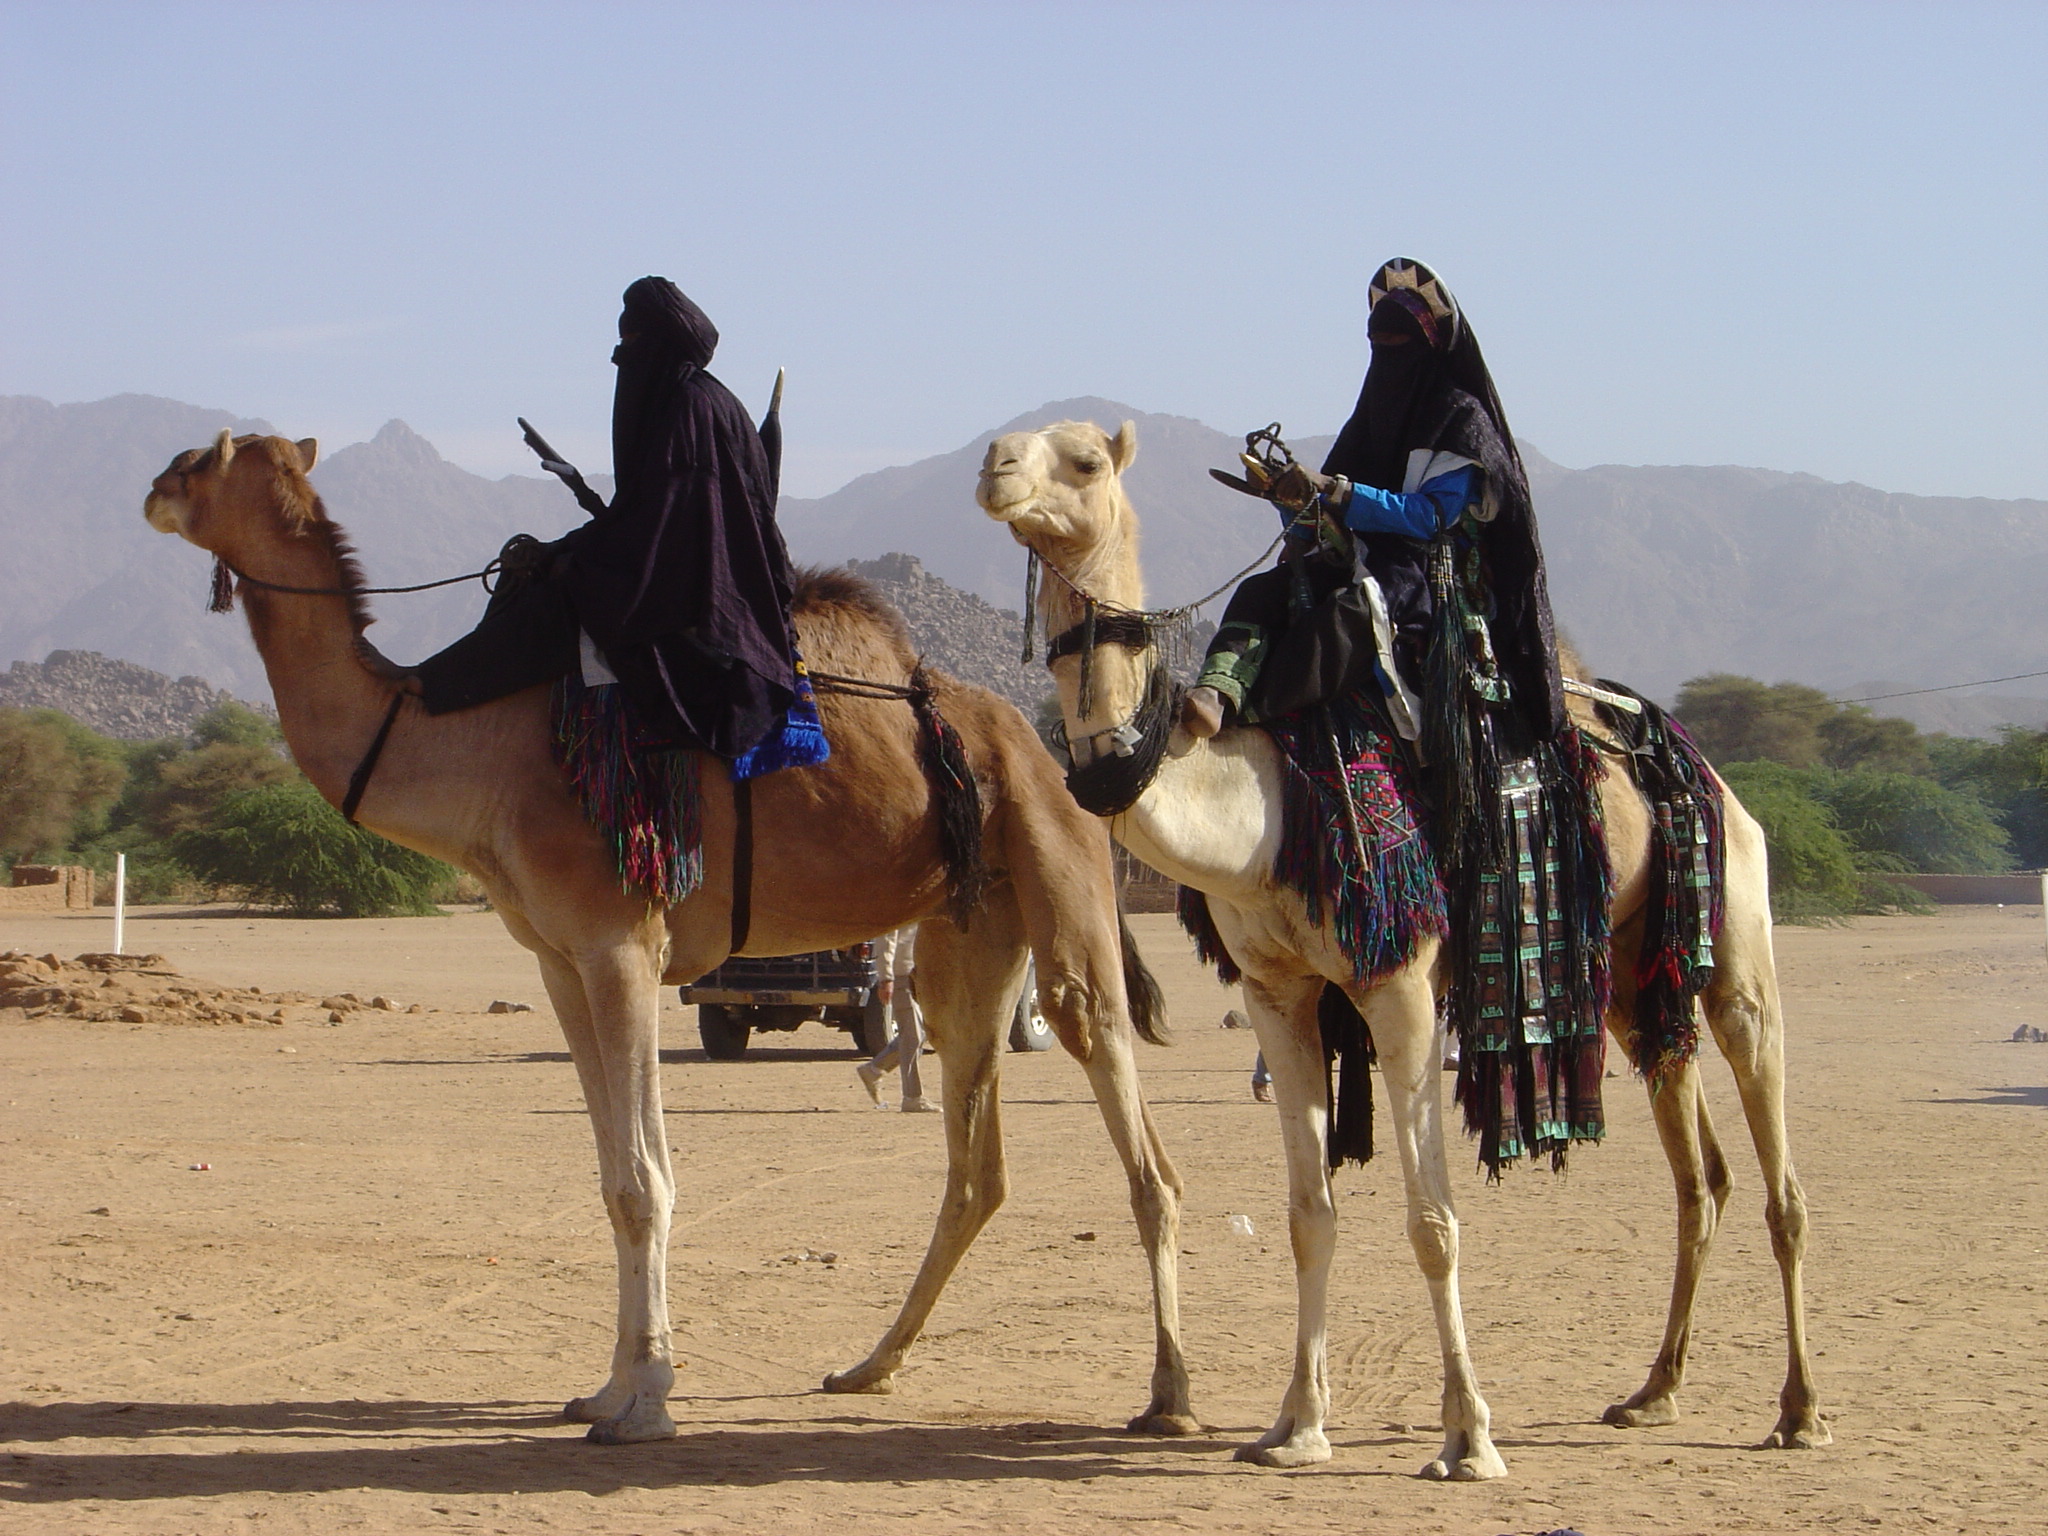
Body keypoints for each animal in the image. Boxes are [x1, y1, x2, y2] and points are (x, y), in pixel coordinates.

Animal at [143, 429, 1198, 1445]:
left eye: (205, 459)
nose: (153, 487)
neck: (467, 740)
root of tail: (1041, 749)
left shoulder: (620, 942)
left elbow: (646, 1181)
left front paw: (648, 1401)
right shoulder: (560, 960)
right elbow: (615, 1175)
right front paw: (603, 1390)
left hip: (1061, 873)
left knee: (1132, 1122)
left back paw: (1170, 1395)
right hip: (969, 925)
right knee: (975, 1156)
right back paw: (868, 1366)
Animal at [978, 418, 1826, 1477]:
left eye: (1086, 459)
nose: (996, 468)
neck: (1263, 802)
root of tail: (1706, 771)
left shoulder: (1401, 982)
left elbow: (1432, 1222)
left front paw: (1468, 1435)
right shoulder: (1278, 991)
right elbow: (1308, 1214)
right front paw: (1296, 1426)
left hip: (1737, 938)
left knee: (1778, 1170)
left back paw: (1798, 1410)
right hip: (1637, 978)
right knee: (1697, 1176)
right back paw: (1654, 1392)